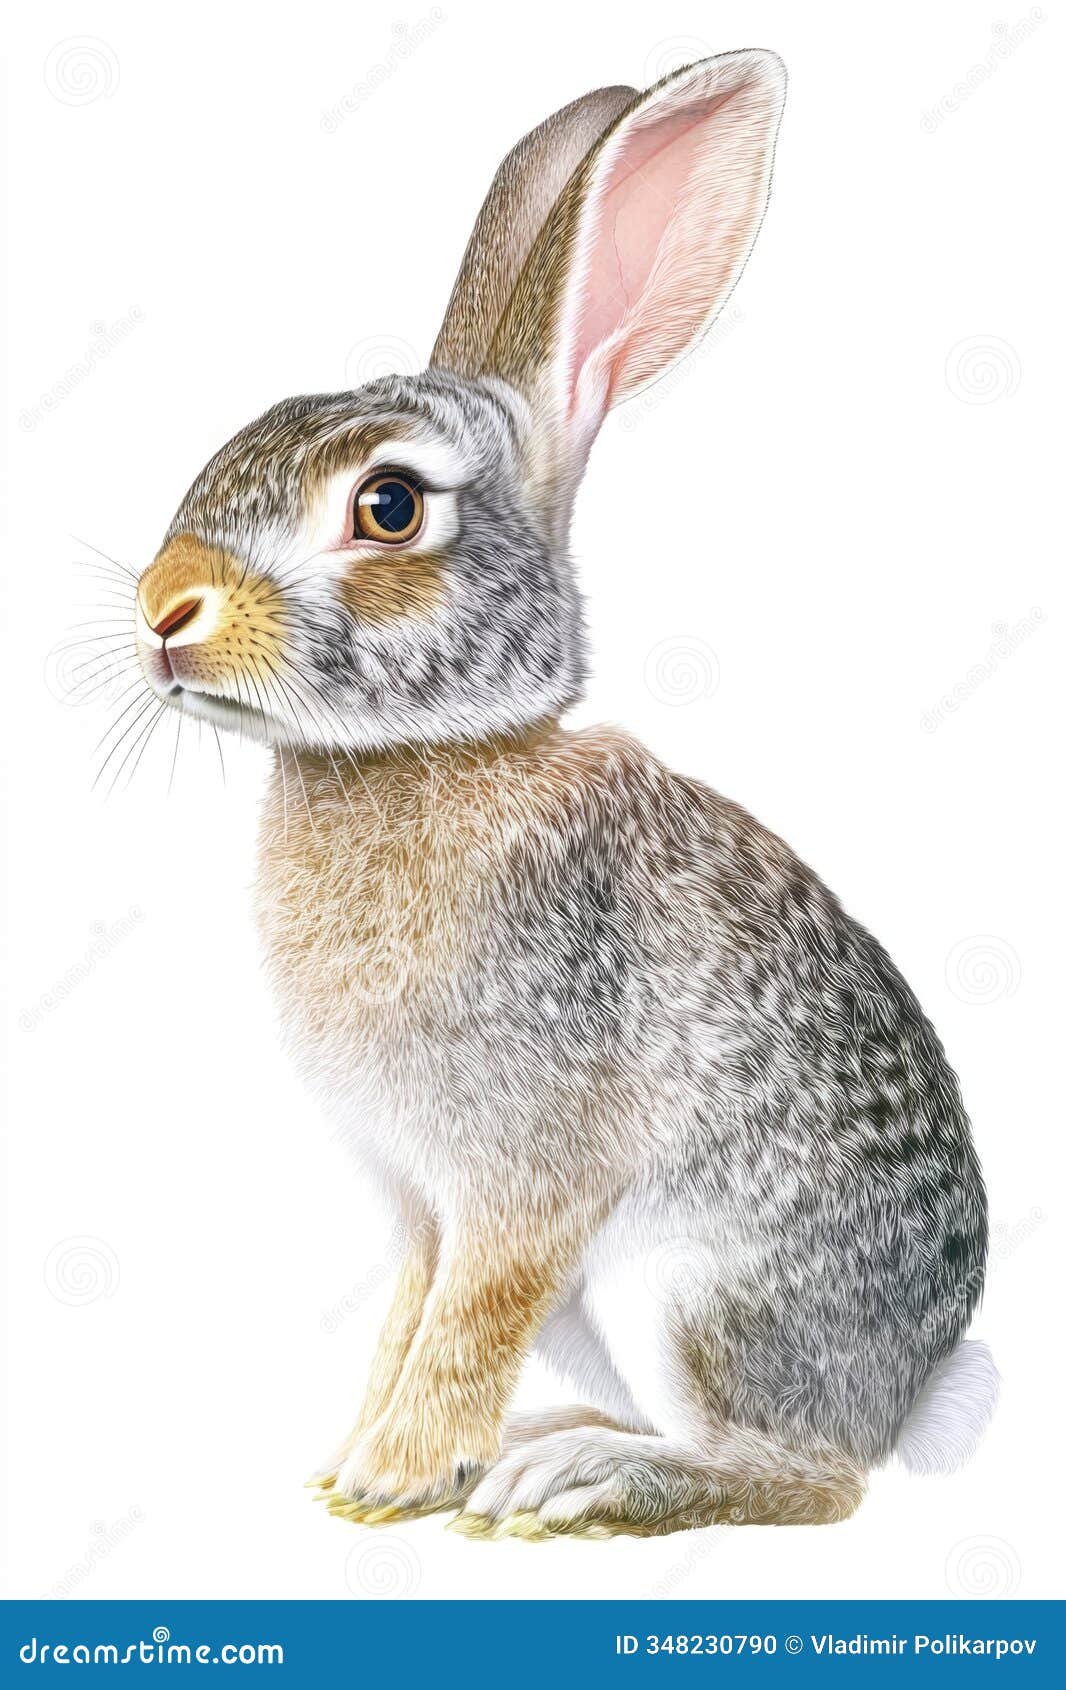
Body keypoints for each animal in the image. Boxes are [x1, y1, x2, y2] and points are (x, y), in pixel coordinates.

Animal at [131, 49, 996, 1539]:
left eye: (389, 506)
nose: (162, 607)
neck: (425, 753)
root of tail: (909, 1394)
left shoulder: (523, 1172)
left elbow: (470, 1314)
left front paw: (394, 1474)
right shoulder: (419, 1199)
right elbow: (411, 1313)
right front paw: (357, 1467)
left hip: (686, 1290)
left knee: (808, 1481)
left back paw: (586, 1477)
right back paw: (547, 1440)